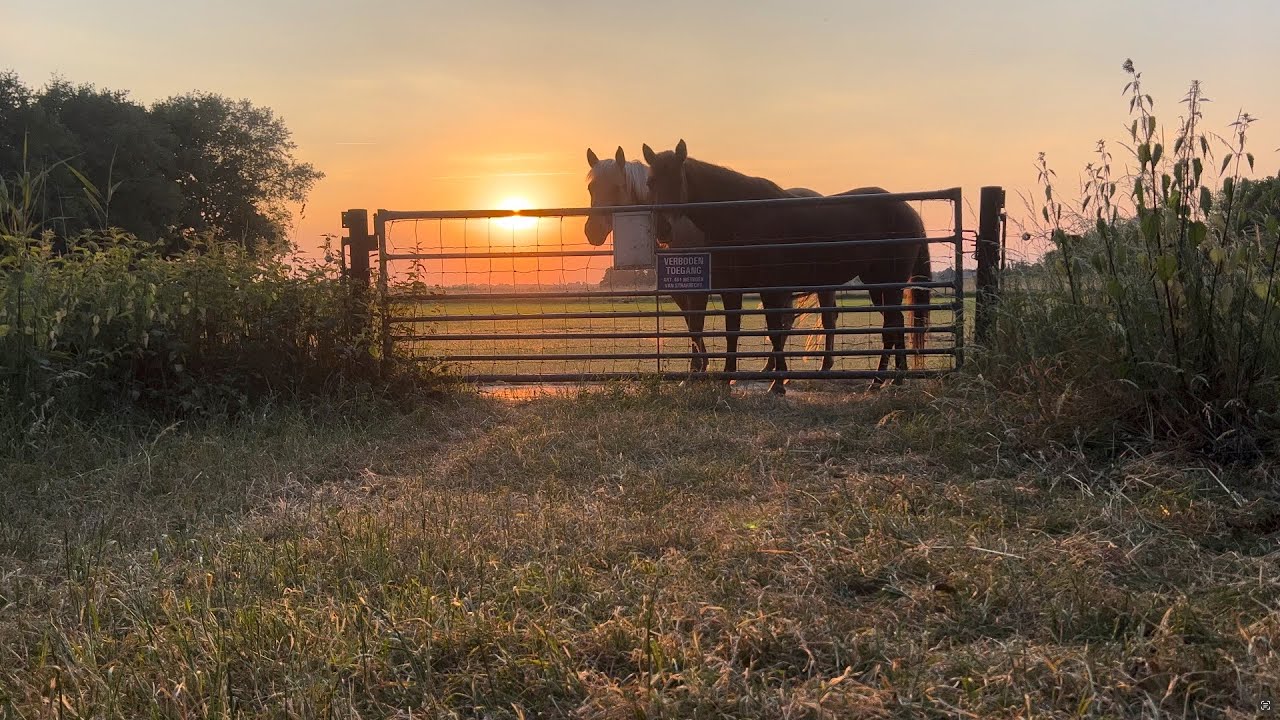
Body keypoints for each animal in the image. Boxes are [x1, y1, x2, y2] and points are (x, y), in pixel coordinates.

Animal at [584, 146, 835, 376]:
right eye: (591, 188)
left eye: (617, 187)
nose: (591, 231)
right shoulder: (680, 291)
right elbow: (691, 324)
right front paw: (699, 365)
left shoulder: (700, 288)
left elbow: (697, 324)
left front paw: (698, 368)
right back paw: (772, 367)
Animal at [641, 139, 932, 394]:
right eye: (650, 182)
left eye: (678, 180)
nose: (663, 231)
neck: (743, 216)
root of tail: (909, 211)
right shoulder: (731, 290)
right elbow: (732, 332)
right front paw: (728, 380)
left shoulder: (770, 289)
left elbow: (775, 330)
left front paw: (777, 383)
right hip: (876, 284)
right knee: (895, 324)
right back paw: (890, 379)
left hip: (889, 283)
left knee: (891, 326)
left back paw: (883, 379)